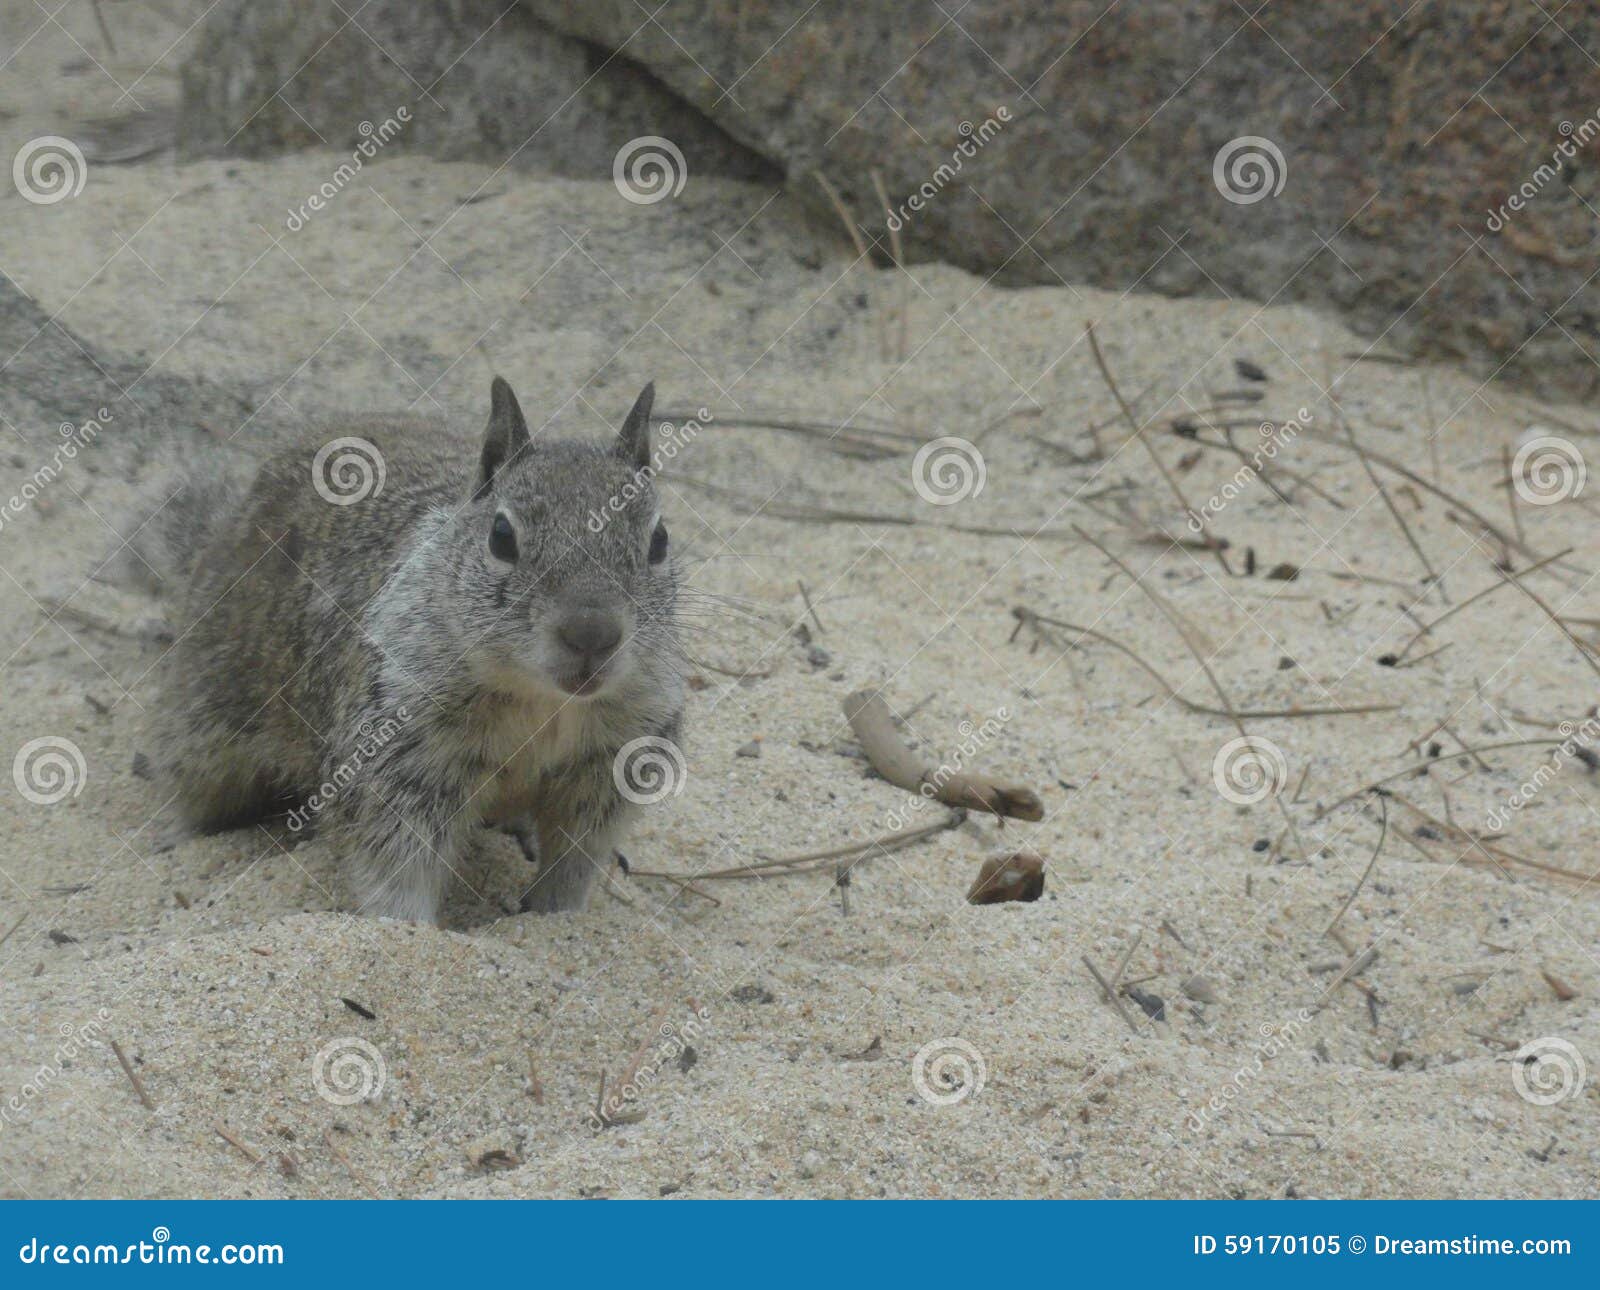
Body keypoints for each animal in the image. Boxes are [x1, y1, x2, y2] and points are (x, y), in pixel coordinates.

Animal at [138, 377, 685, 923]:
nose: (592, 634)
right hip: (209, 719)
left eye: (660, 540)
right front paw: (406, 926)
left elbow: (575, 857)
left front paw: (557, 915)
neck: (546, 704)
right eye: (501, 537)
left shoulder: (613, 761)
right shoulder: (400, 756)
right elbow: (397, 863)